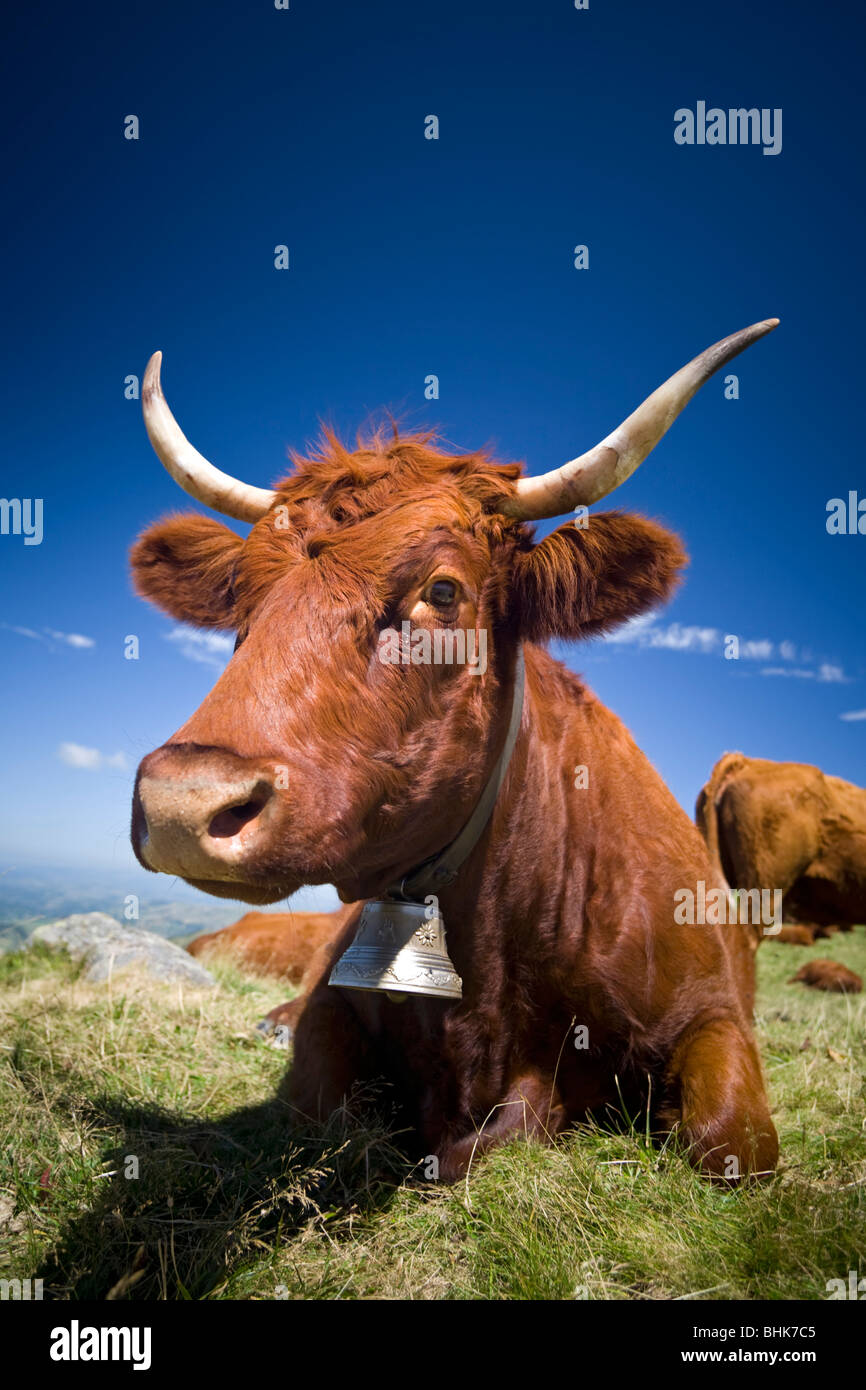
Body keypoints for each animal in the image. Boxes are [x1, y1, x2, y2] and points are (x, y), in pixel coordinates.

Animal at [130, 320, 781, 1183]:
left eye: (442, 591)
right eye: (241, 592)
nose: (182, 801)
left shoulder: (713, 1015)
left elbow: (732, 1141)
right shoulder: (334, 1007)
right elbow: (324, 1102)